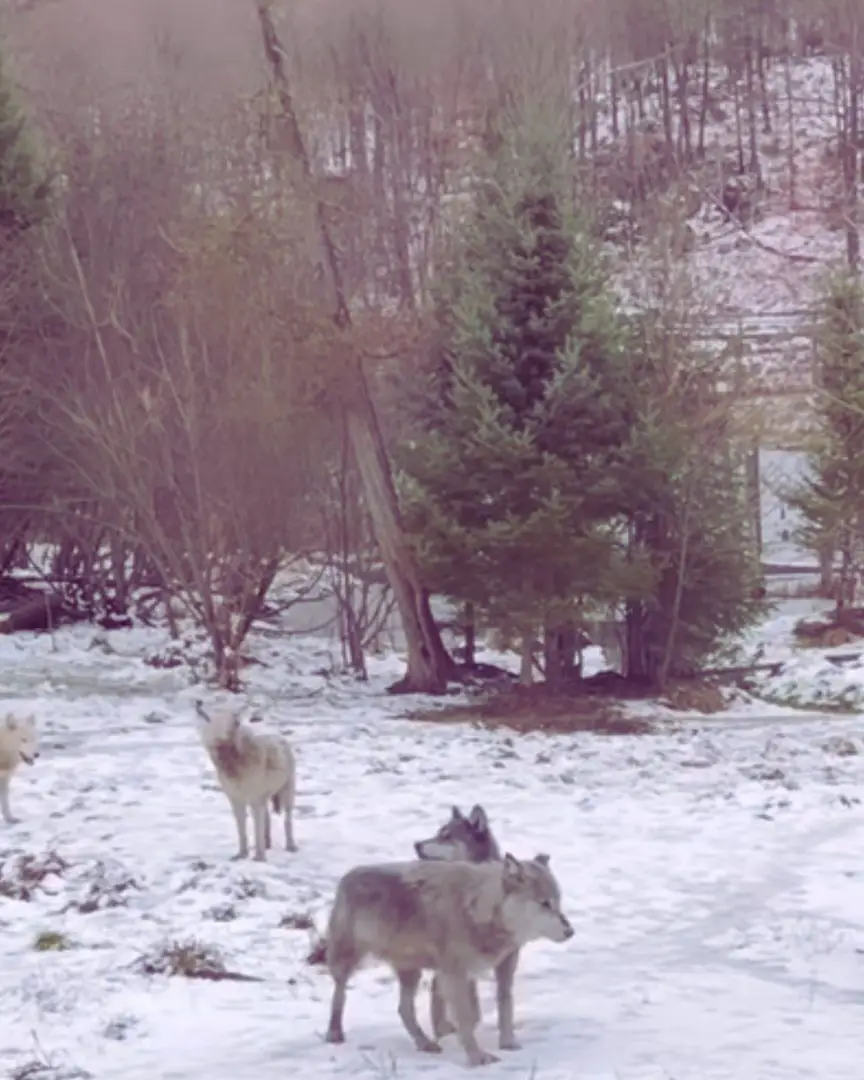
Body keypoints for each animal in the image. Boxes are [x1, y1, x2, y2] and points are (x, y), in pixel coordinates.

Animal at [194, 700, 297, 861]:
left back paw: (290, 846)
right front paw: (241, 855)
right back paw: (268, 844)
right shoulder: (236, 799)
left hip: (287, 792)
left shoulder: (254, 799)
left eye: (234, 721)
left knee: (287, 820)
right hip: (265, 798)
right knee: (267, 817)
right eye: (209, 719)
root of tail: (279, 736)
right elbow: (241, 829)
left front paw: (259, 858)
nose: (199, 703)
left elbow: (256, 828)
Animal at [324, 852, 573, 1067]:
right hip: (347, 960)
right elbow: (466, 1017)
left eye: (557, 902)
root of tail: (348, 875)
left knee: (404, 1009)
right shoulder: (455, 973)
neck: (478, 910)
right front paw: (477, 1057)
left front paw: (508, 1043)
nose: (570, 932)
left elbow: (502, 1006)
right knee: (339, 995)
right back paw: (334, 1033)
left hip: (411, 971)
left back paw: (426, 1043)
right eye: (544, 903)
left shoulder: (500, 966)